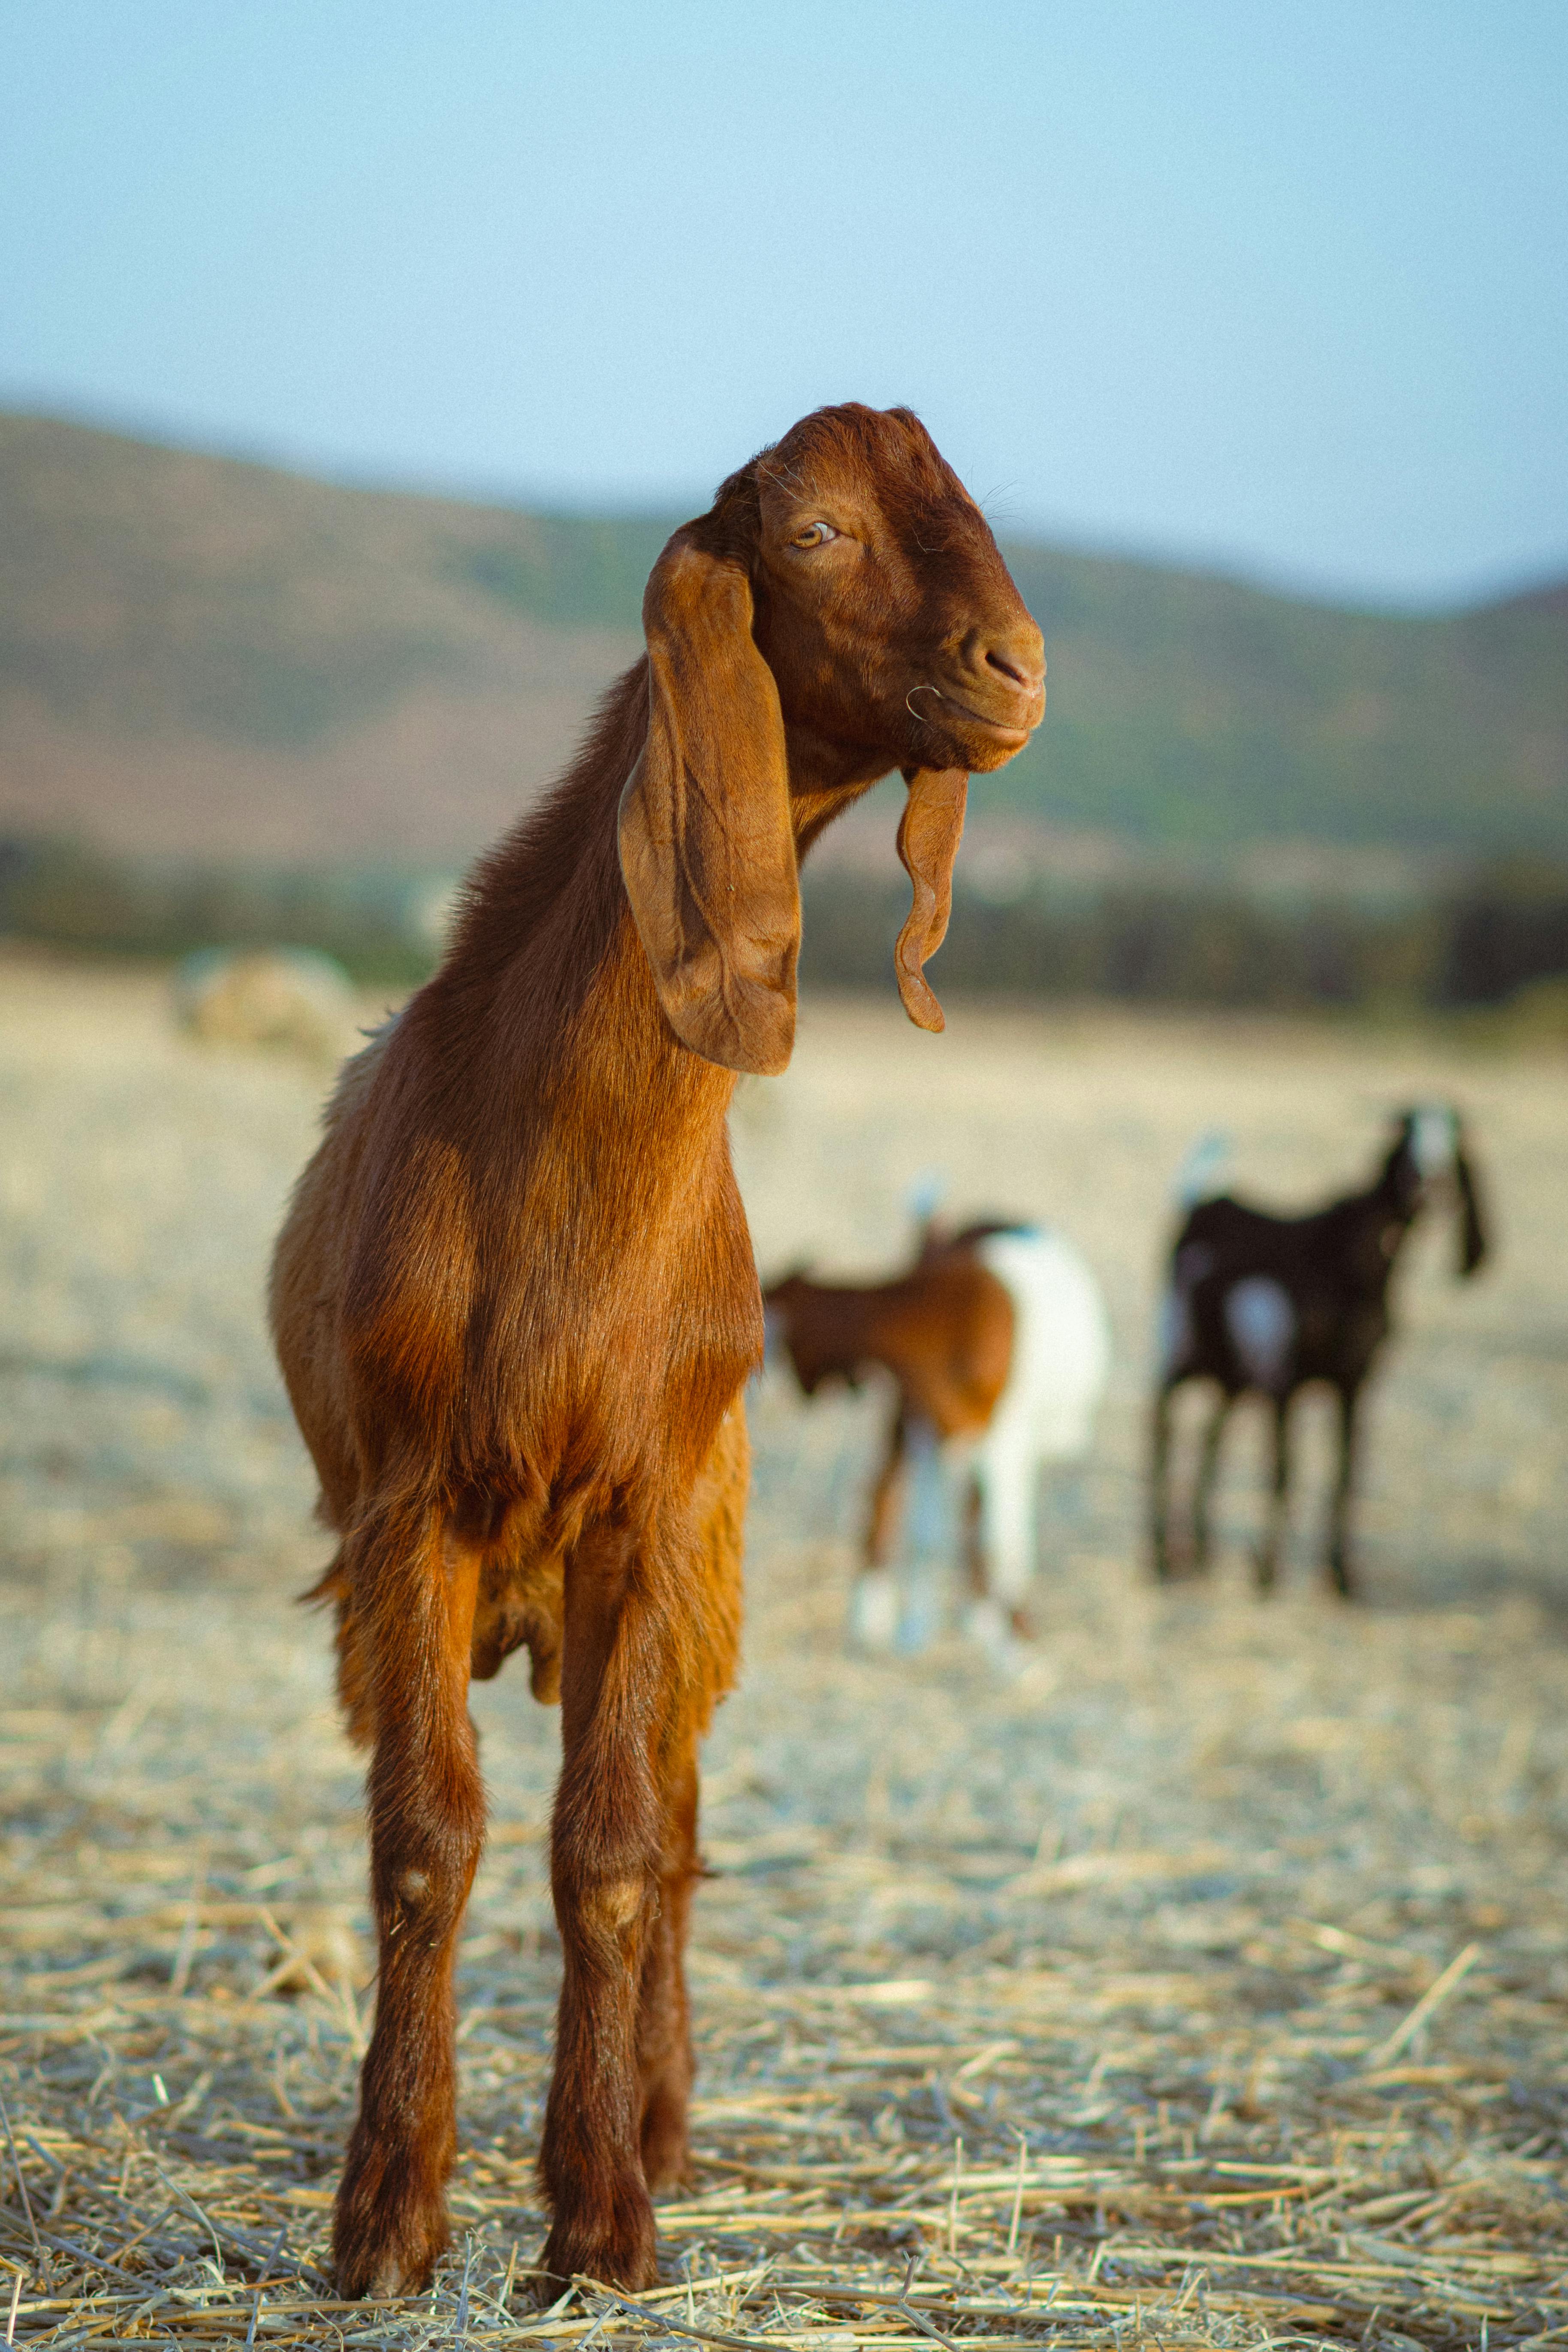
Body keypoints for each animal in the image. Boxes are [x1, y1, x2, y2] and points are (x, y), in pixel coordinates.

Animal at [268, 404, 1044, 2299]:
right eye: (820, 527)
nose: (1017, 668)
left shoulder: (647, 1513)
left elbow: (614, 1854)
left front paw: (603, 2216)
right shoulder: (408, 1514)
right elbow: (428, 1843)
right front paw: (386, 2218)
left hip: (708, 1559)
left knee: (679, 1825)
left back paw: (665, 2120)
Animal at [765, 1219, 1110, 1655]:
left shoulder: (1004, 1439)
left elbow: (1002, 1541)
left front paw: (1016, 1643)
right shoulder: (921, 1419)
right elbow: (925, 1530)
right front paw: (912, 1631)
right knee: (892, 1495)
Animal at [1150, 1106, 1488, 1596]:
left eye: (1455, 1142)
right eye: (1407, 1138)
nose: (1432, 1186)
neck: (1346, 1263)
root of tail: (1202, 1202)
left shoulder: (1355, 1382)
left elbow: (1345, 1473)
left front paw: (1343, 1578)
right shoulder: (1284, 1380)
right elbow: (1283, 1471)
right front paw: (1268, 1573)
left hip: (1232, 1375)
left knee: (1210, 1436)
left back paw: (1199, 1556)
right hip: (1177, 1349)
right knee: (1162, 1428)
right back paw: (1158, 1556)